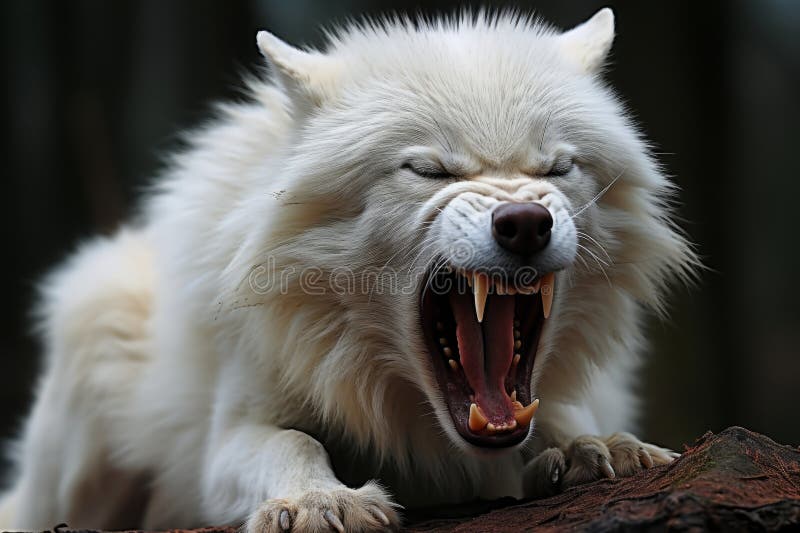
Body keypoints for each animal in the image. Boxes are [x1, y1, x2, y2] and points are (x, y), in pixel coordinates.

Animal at [0, 8, 695, 532]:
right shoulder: (229, 438)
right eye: (428, 170)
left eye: (557, 167)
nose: (525, 222)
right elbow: (293, 442)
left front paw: (595, 448)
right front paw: (319, 500)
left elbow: (564, 419)